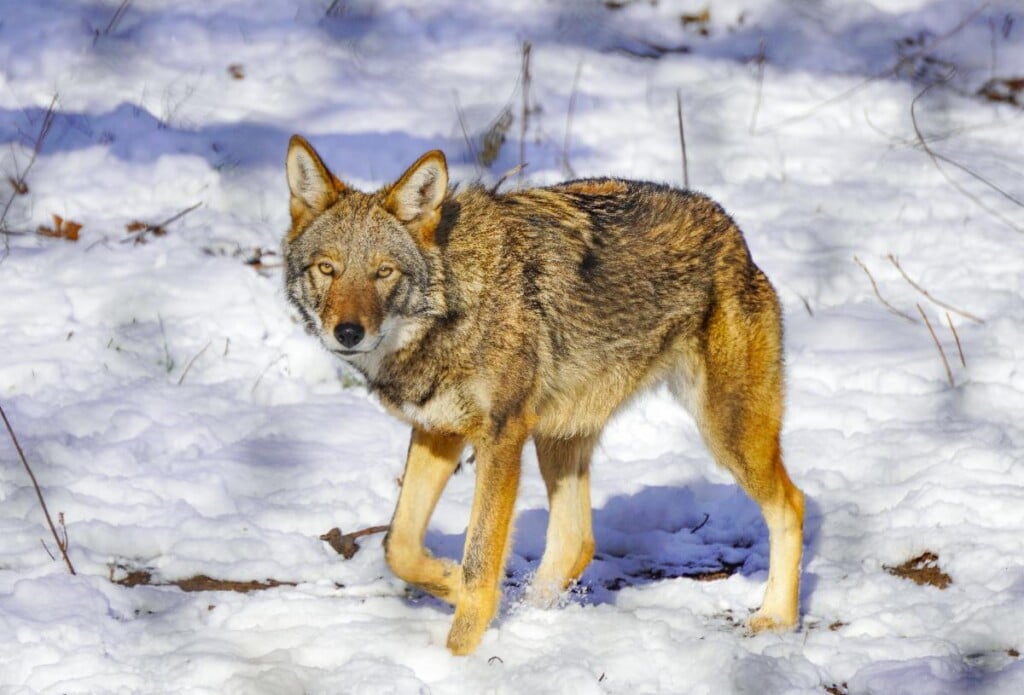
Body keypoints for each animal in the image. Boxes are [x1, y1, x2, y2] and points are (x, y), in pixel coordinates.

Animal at [282, 135, 805, 655]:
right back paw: (534, 618)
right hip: (560, 435)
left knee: (792, 504)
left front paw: (460, 654)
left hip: (726, 434)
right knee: (578, 541)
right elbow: (400, 547)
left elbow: (480, 561)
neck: (455, 304)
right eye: (327, 269)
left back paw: (776, 617)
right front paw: (452, 584)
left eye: (383, 272)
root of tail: (732, 229)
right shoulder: (437, 431)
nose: (348, 332)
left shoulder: (500, 437)